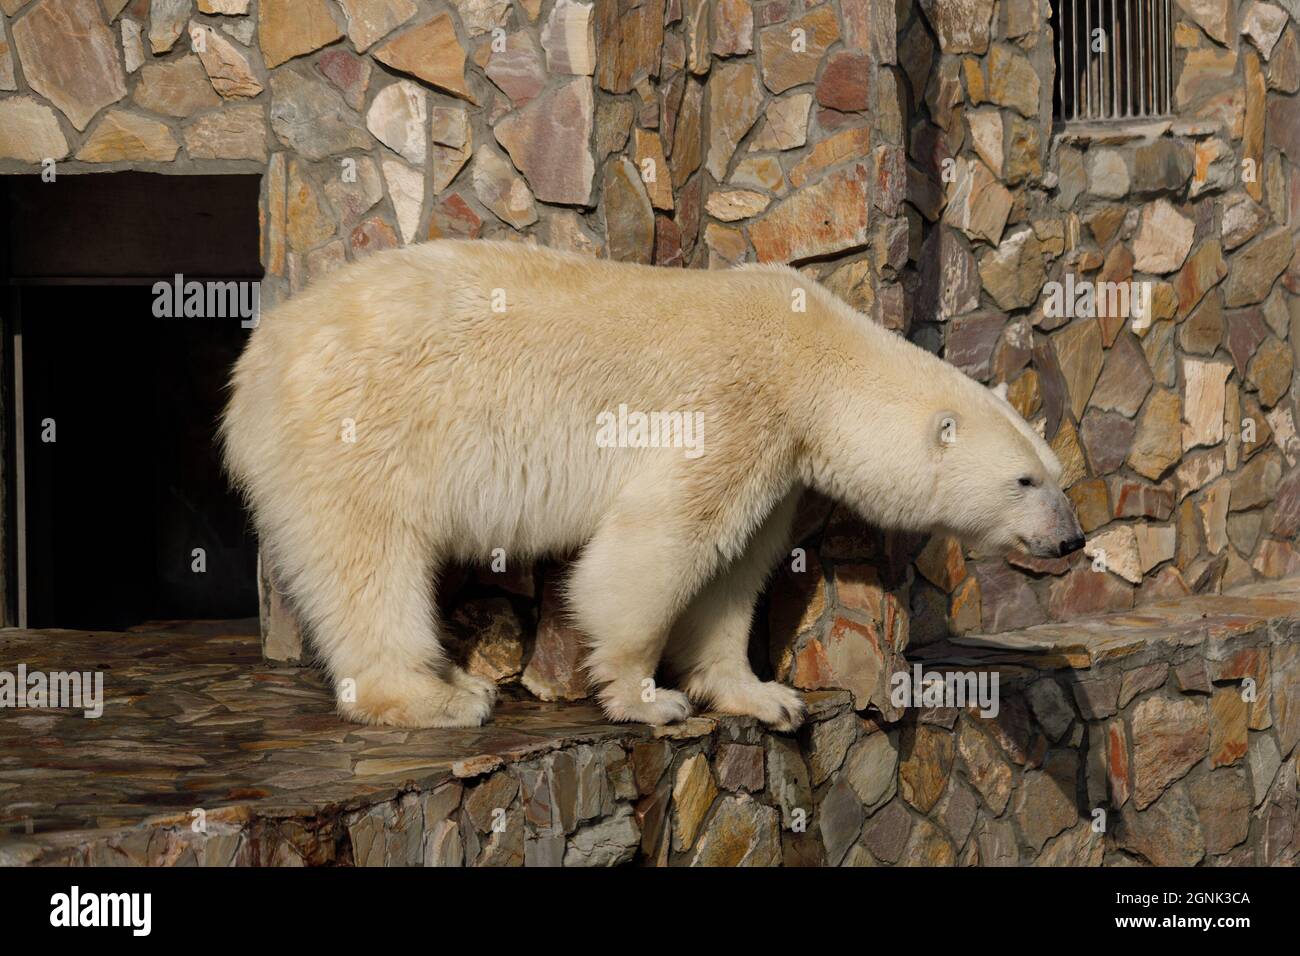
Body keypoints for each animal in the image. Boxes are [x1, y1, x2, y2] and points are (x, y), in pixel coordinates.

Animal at [221, 239, 1083, 732]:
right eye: (1023, 480)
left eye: (1058, 474)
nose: (1071, 539)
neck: (812, 351)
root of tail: (255, 367)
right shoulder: (731, 410)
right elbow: (656, 547)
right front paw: (648, 698)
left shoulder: (779, 461)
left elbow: (736, 568)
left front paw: (763, 697)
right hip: (359, 430)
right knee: (369, 561)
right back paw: (441, 697)